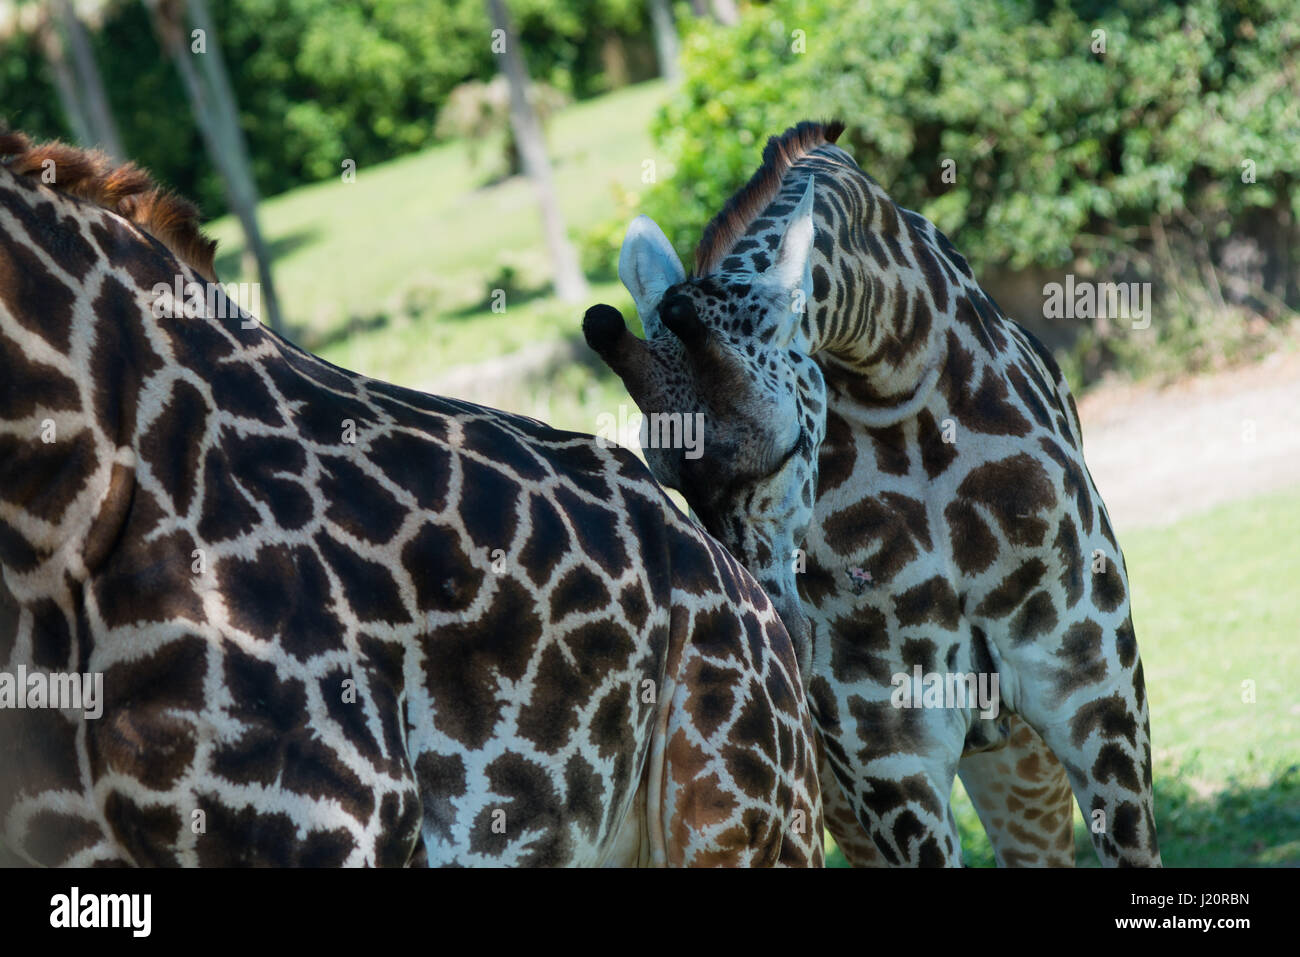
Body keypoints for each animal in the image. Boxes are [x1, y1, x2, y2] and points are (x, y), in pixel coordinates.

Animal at [585, 121, 1160, 867]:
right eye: (669, 478)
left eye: (791, 448)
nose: (781, 635)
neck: (895, 374)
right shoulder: (886, 755)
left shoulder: (1094, 689)